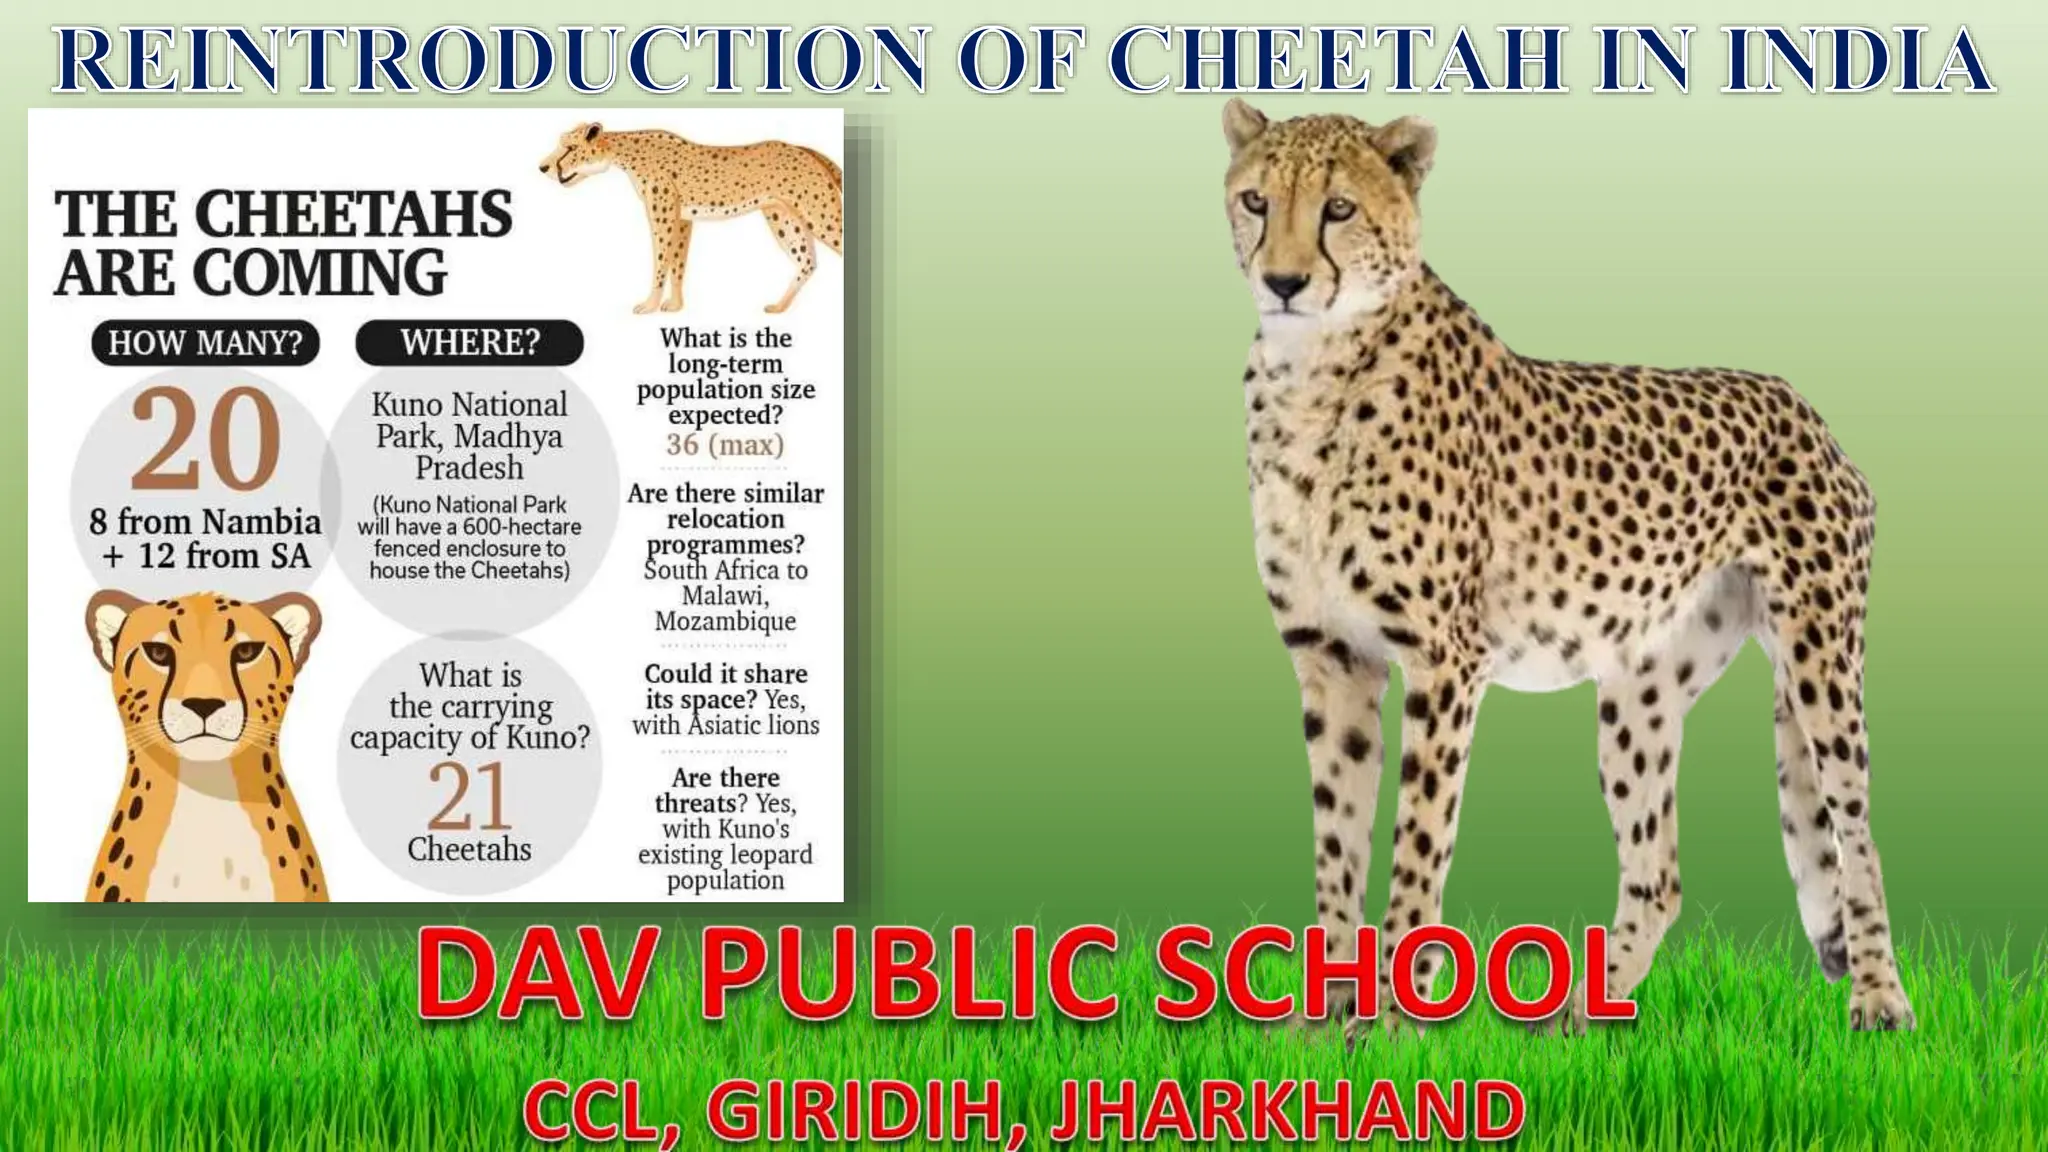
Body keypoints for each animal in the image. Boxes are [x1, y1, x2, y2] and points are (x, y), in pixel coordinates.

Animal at [539, 122, 844, 315]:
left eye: (569, 148)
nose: (542, 167)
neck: (625, 154)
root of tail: (803, 148)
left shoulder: (662, 218)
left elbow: (660, 263)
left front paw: (649, 306)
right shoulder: (682, 219)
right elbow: (677, 265)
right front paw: (674, 306)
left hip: (821, 216)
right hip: (782, 218)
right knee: (808, 262)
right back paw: (779, 307)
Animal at [1221, 99, 1911, 1035]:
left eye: (1338, 209)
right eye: (1256, 200)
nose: (1285, 282)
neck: (1314, 374)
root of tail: (1801, 404)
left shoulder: (1444, 661)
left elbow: (1417, 842)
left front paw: (1393, 1021)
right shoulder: (1331, 658)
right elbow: (1338, 844)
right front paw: (1320, 1021)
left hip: (1820, 660)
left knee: (1855, 829)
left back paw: (1879, 999)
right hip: (1641, 692)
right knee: (1658, 874)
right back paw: (1582, 1015)